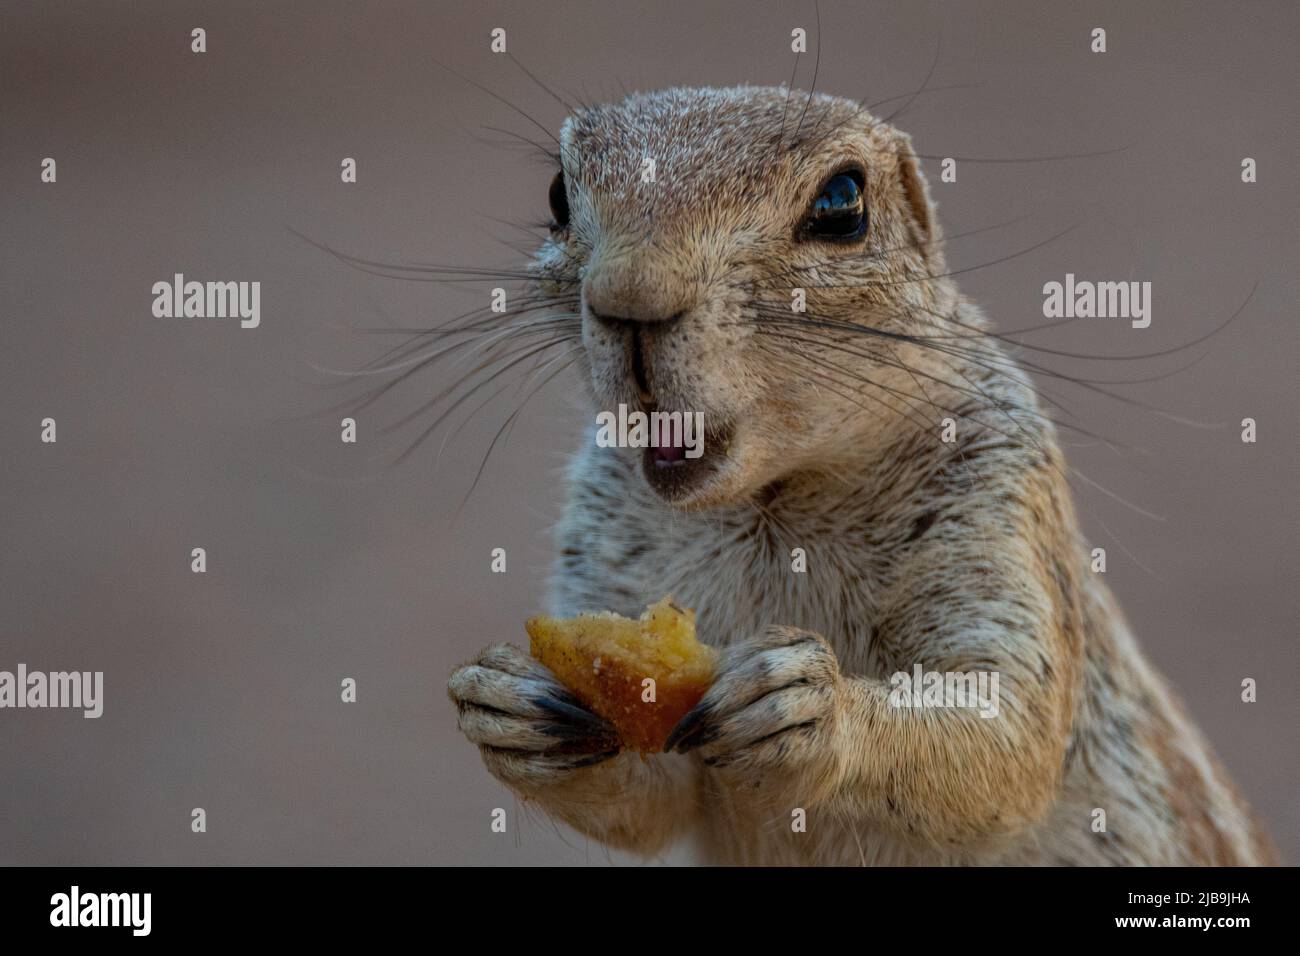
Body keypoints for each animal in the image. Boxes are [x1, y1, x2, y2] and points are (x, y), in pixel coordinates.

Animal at [447, 86, 1277, 865]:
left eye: (842, 203)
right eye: (557, 194)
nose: (630, 299)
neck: (774, 504)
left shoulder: (999, 500)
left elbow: (1009, 731)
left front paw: (815, 703)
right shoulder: (607, 541)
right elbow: (651, 799)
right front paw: (508, 703)